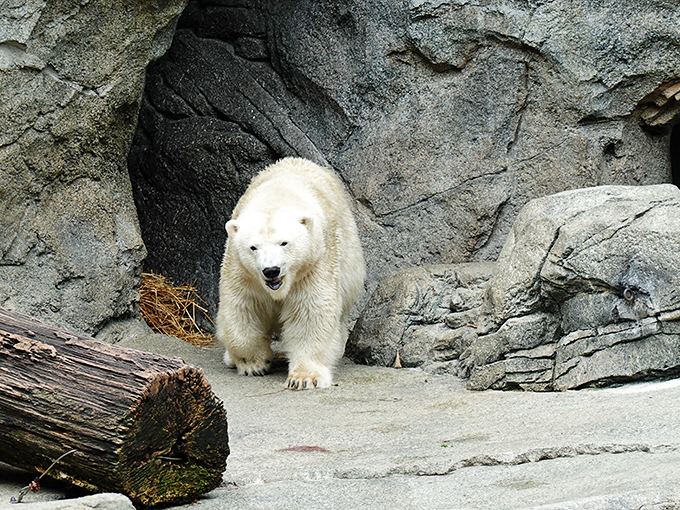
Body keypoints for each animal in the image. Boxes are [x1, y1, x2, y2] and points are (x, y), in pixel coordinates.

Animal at [216, 157, 365, 389]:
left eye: (284, 243)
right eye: (253, 247)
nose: (271, 271)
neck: (278, 195)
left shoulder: (315, 261)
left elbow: (311, 311)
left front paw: (304, 378)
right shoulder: (241, 269)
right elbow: (243, 307)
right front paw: (254, 364)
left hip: (349, 256)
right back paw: (230, 358)